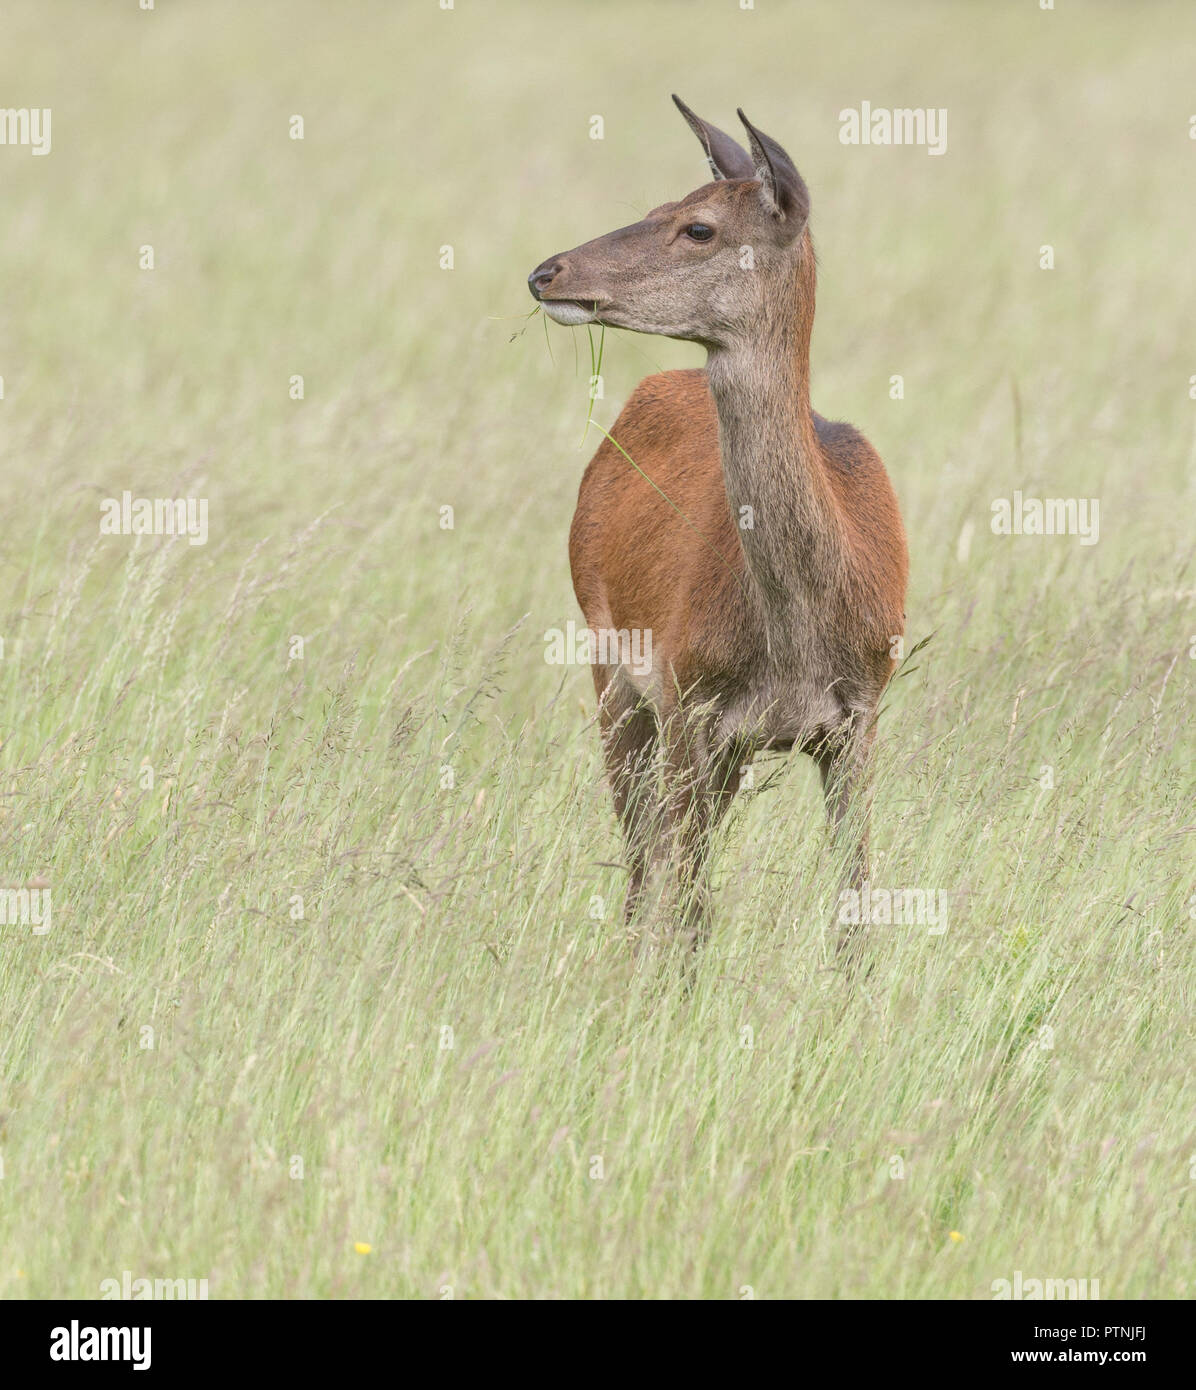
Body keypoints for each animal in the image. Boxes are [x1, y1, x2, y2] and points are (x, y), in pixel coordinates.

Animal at [527, 97, 908, 957]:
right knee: (644, 870)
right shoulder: (687, 698)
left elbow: (857, 909)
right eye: (651, 206)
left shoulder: (861, 713)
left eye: (697, 227)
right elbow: (692, 905)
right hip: (612, 669)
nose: (546, 271)